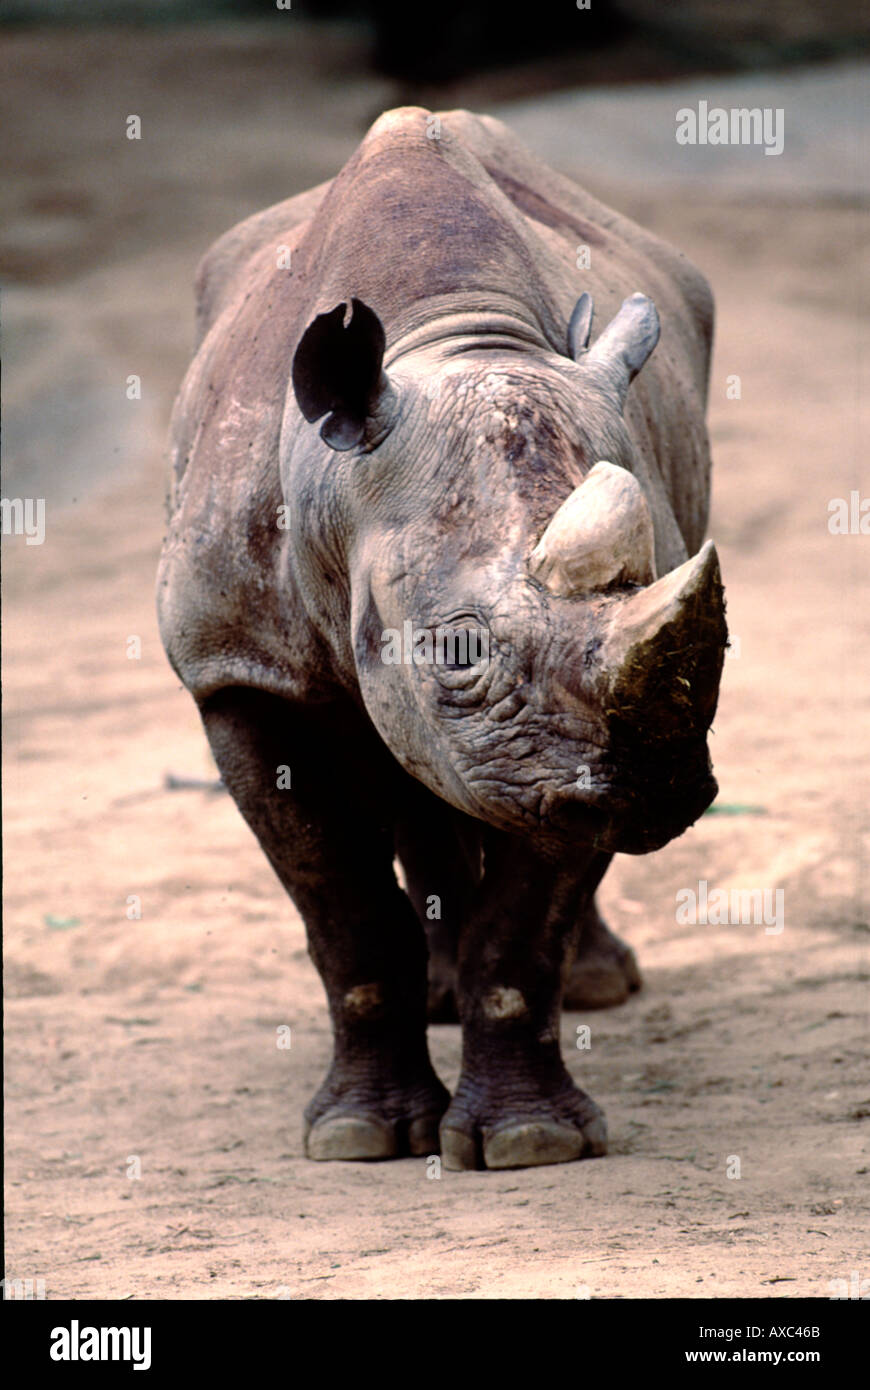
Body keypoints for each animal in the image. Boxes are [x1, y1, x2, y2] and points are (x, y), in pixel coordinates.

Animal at [157, 107, 727, 1170]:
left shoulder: (565, 752)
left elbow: (525, 920)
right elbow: (340, 910)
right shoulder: (239, 670)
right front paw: (358, 1137)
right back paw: (439, 996)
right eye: (457, 654)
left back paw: (585, 989)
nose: (667, 789)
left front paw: (530, 1143)